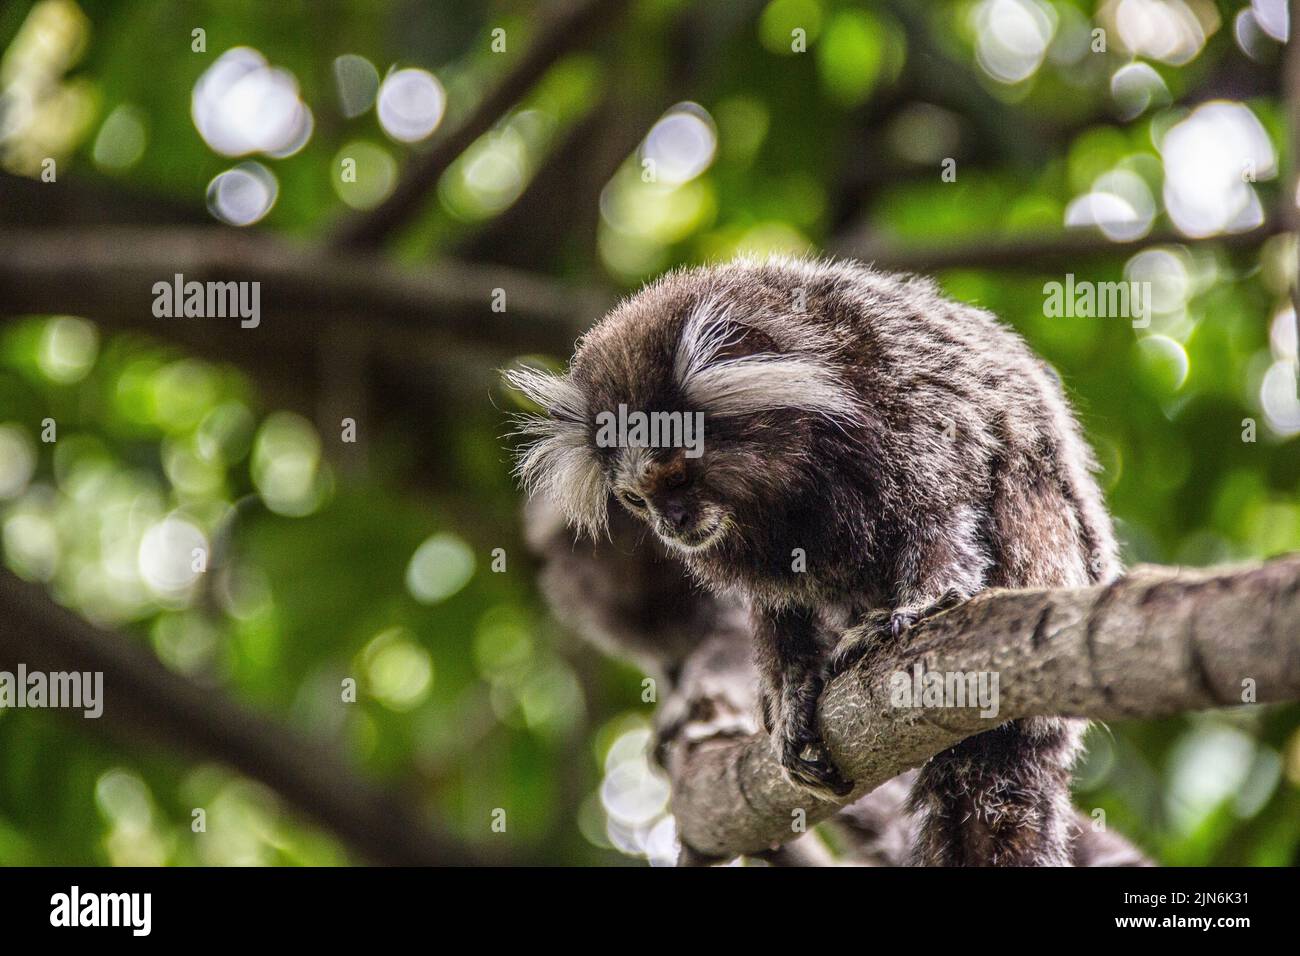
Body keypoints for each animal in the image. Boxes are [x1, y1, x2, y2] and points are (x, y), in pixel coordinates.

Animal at [508, 255, 1121, 866]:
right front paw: (791, 692)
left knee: (1020, 468)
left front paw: (922, 603)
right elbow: (778, 606)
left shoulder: (910, 401)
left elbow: (947, 502)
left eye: (677, 476)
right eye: (636, 499)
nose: (670, 524)